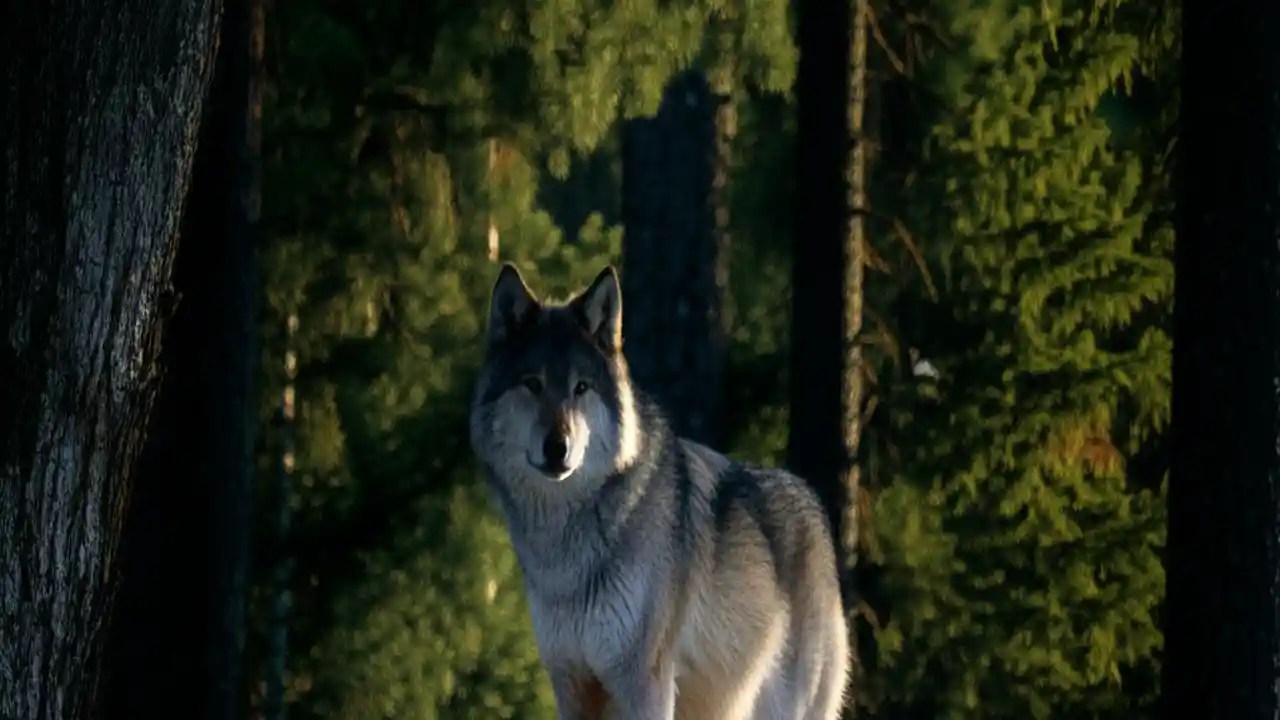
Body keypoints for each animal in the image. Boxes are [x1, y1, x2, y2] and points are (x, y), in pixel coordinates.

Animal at [469, 263, 849, 720]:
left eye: (581, 387)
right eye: (532, 384)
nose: (557, 447)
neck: (564, 551)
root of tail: (812, 502)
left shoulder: (645, 683)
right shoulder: (571, 683)